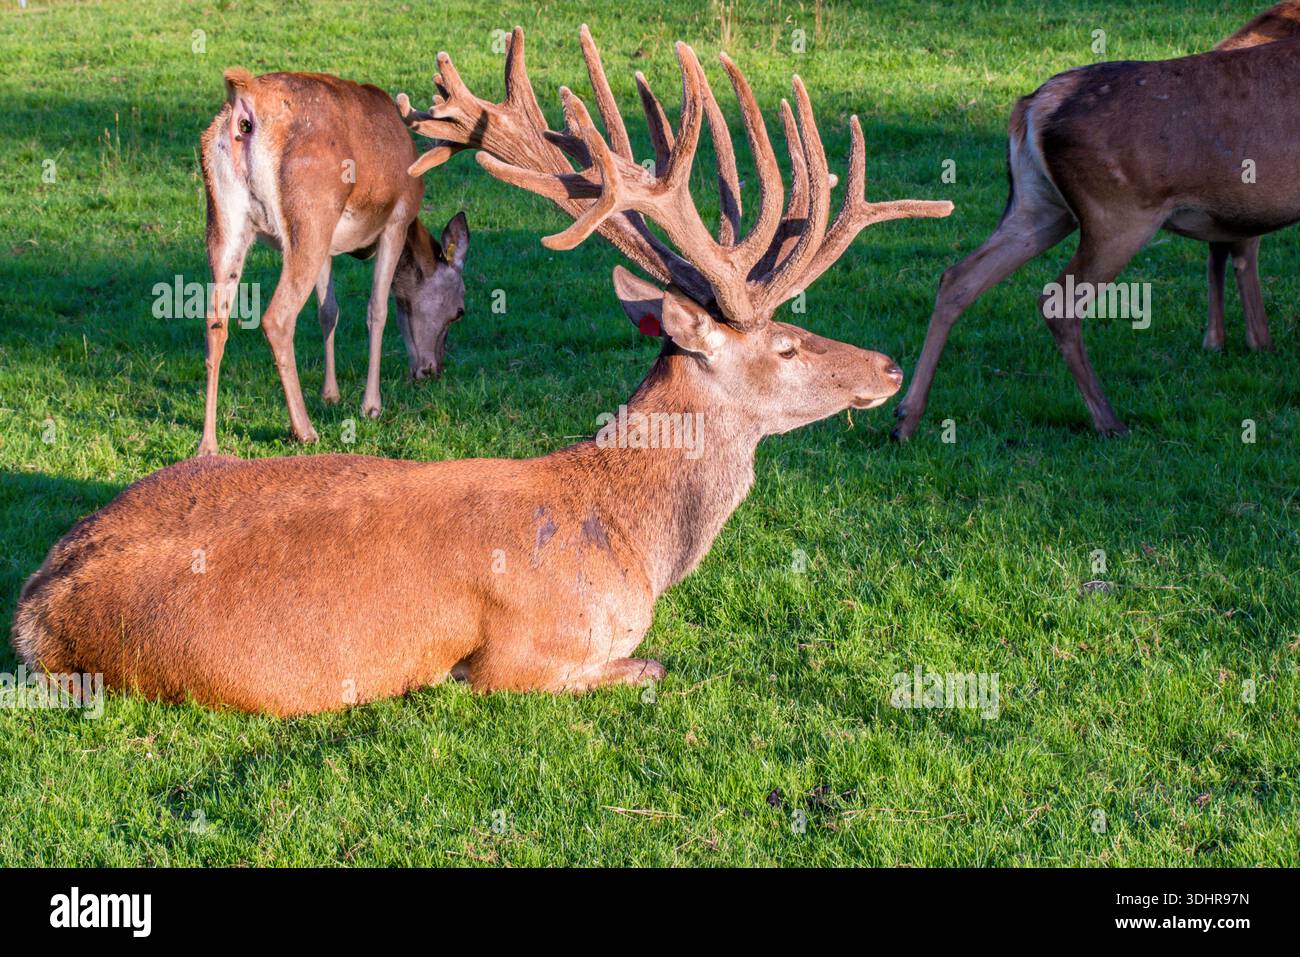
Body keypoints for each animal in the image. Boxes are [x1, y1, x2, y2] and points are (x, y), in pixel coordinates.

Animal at [198, 69, 470, 456]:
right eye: (459, 310)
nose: (433, 369)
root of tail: (243, 104)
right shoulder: (396, 220)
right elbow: (376, 310)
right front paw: (371, 406)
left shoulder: (329, 245)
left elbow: (328, 310)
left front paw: (330, 394)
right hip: (310, 212)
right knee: (277, 317)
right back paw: (304, 429)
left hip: (224, 218)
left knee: (214, 320)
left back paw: (208, 444)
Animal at [890, 26, 1300, 441]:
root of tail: (1033, 107)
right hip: (1119, 214)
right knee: (1057, 300)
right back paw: (1109, 420)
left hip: (1038, 205)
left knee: (958, 277)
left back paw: (905, 419)